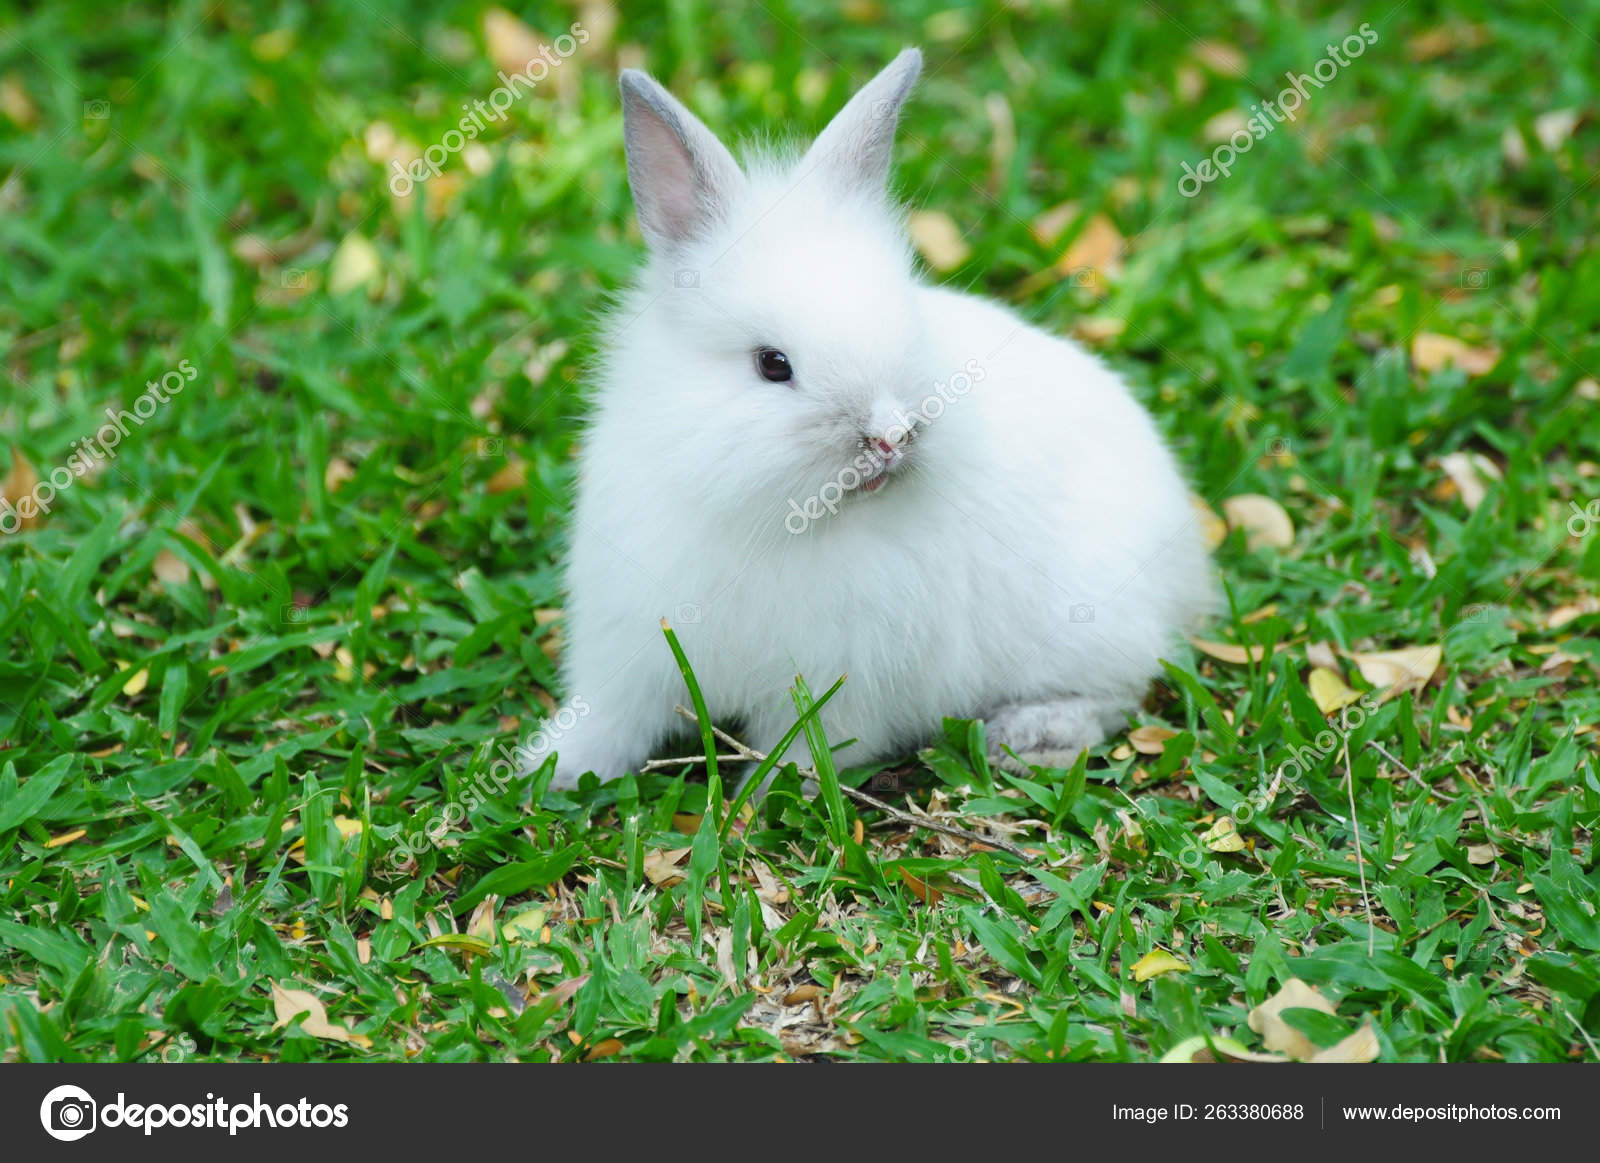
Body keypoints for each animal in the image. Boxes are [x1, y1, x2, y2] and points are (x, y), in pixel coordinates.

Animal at [546, 47, 1215, 790]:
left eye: (906, 325)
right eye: (772, 364)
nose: (890, 438)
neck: (770, 519)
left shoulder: (843, 686)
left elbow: (807, 749)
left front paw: (763, 795)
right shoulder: (628, 651)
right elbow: (611, 720)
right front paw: (553, 768)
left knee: (1116, 693)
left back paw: (1032, 736)